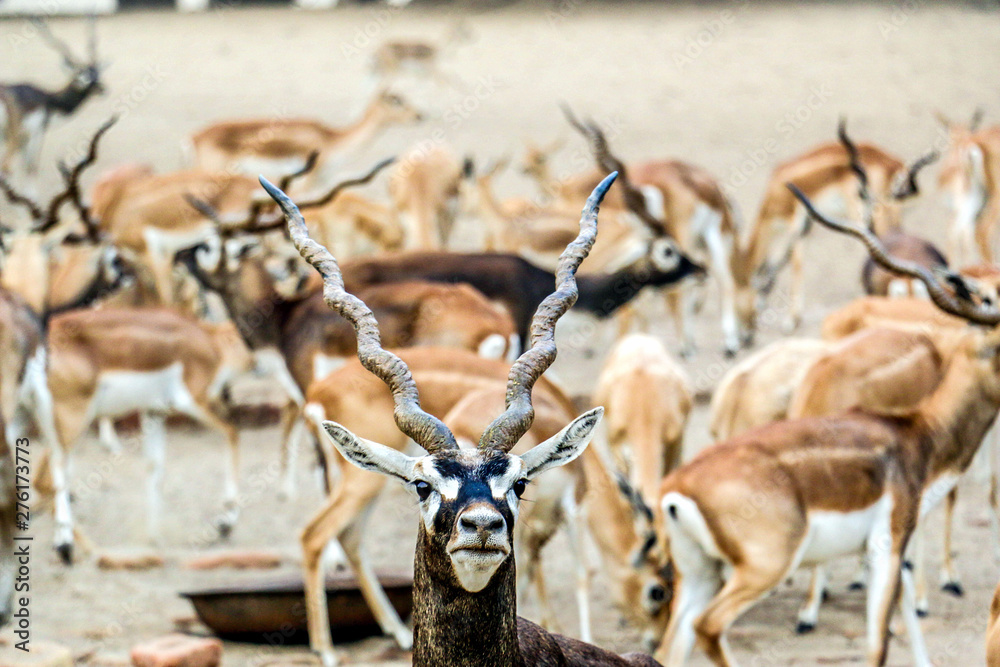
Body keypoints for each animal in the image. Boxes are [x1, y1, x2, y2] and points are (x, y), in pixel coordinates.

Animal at [0, 19, 104, 196]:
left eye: (97, 73)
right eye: (82, 76)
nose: (103, 89)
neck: (48, 99)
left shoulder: (20, 139)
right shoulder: (36, 133)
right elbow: (31, 171)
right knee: (6, 167)